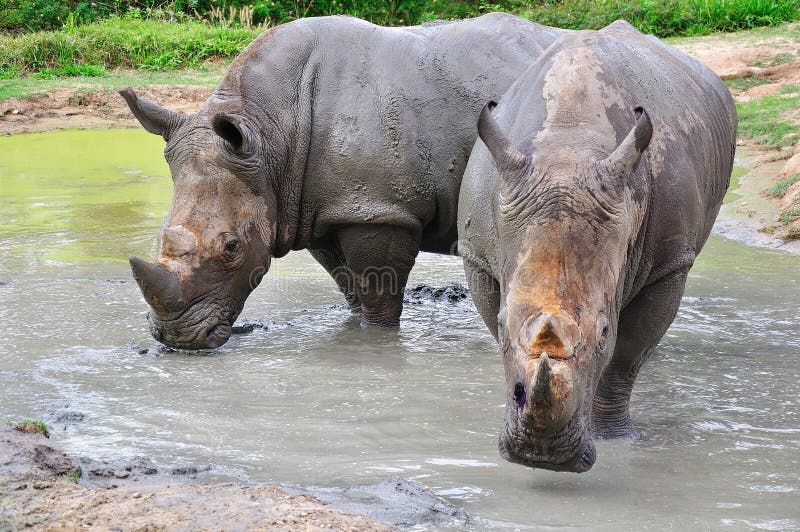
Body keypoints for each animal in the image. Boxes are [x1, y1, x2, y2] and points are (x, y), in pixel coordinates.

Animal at [121, 13, 562, 349]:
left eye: (231, 247)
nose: (176, 339)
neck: (268, 133)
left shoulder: (378, 211)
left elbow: (379, 298)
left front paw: (377, 345)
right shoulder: (319, 207)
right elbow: (350, 286)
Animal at [457, 21, 736, 472]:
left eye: (603, 332)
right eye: (501, 324)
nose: (542, 456)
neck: (568, 146)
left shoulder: (669, 264)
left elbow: (626, 354)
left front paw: (615, 439)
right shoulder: (479, 256)